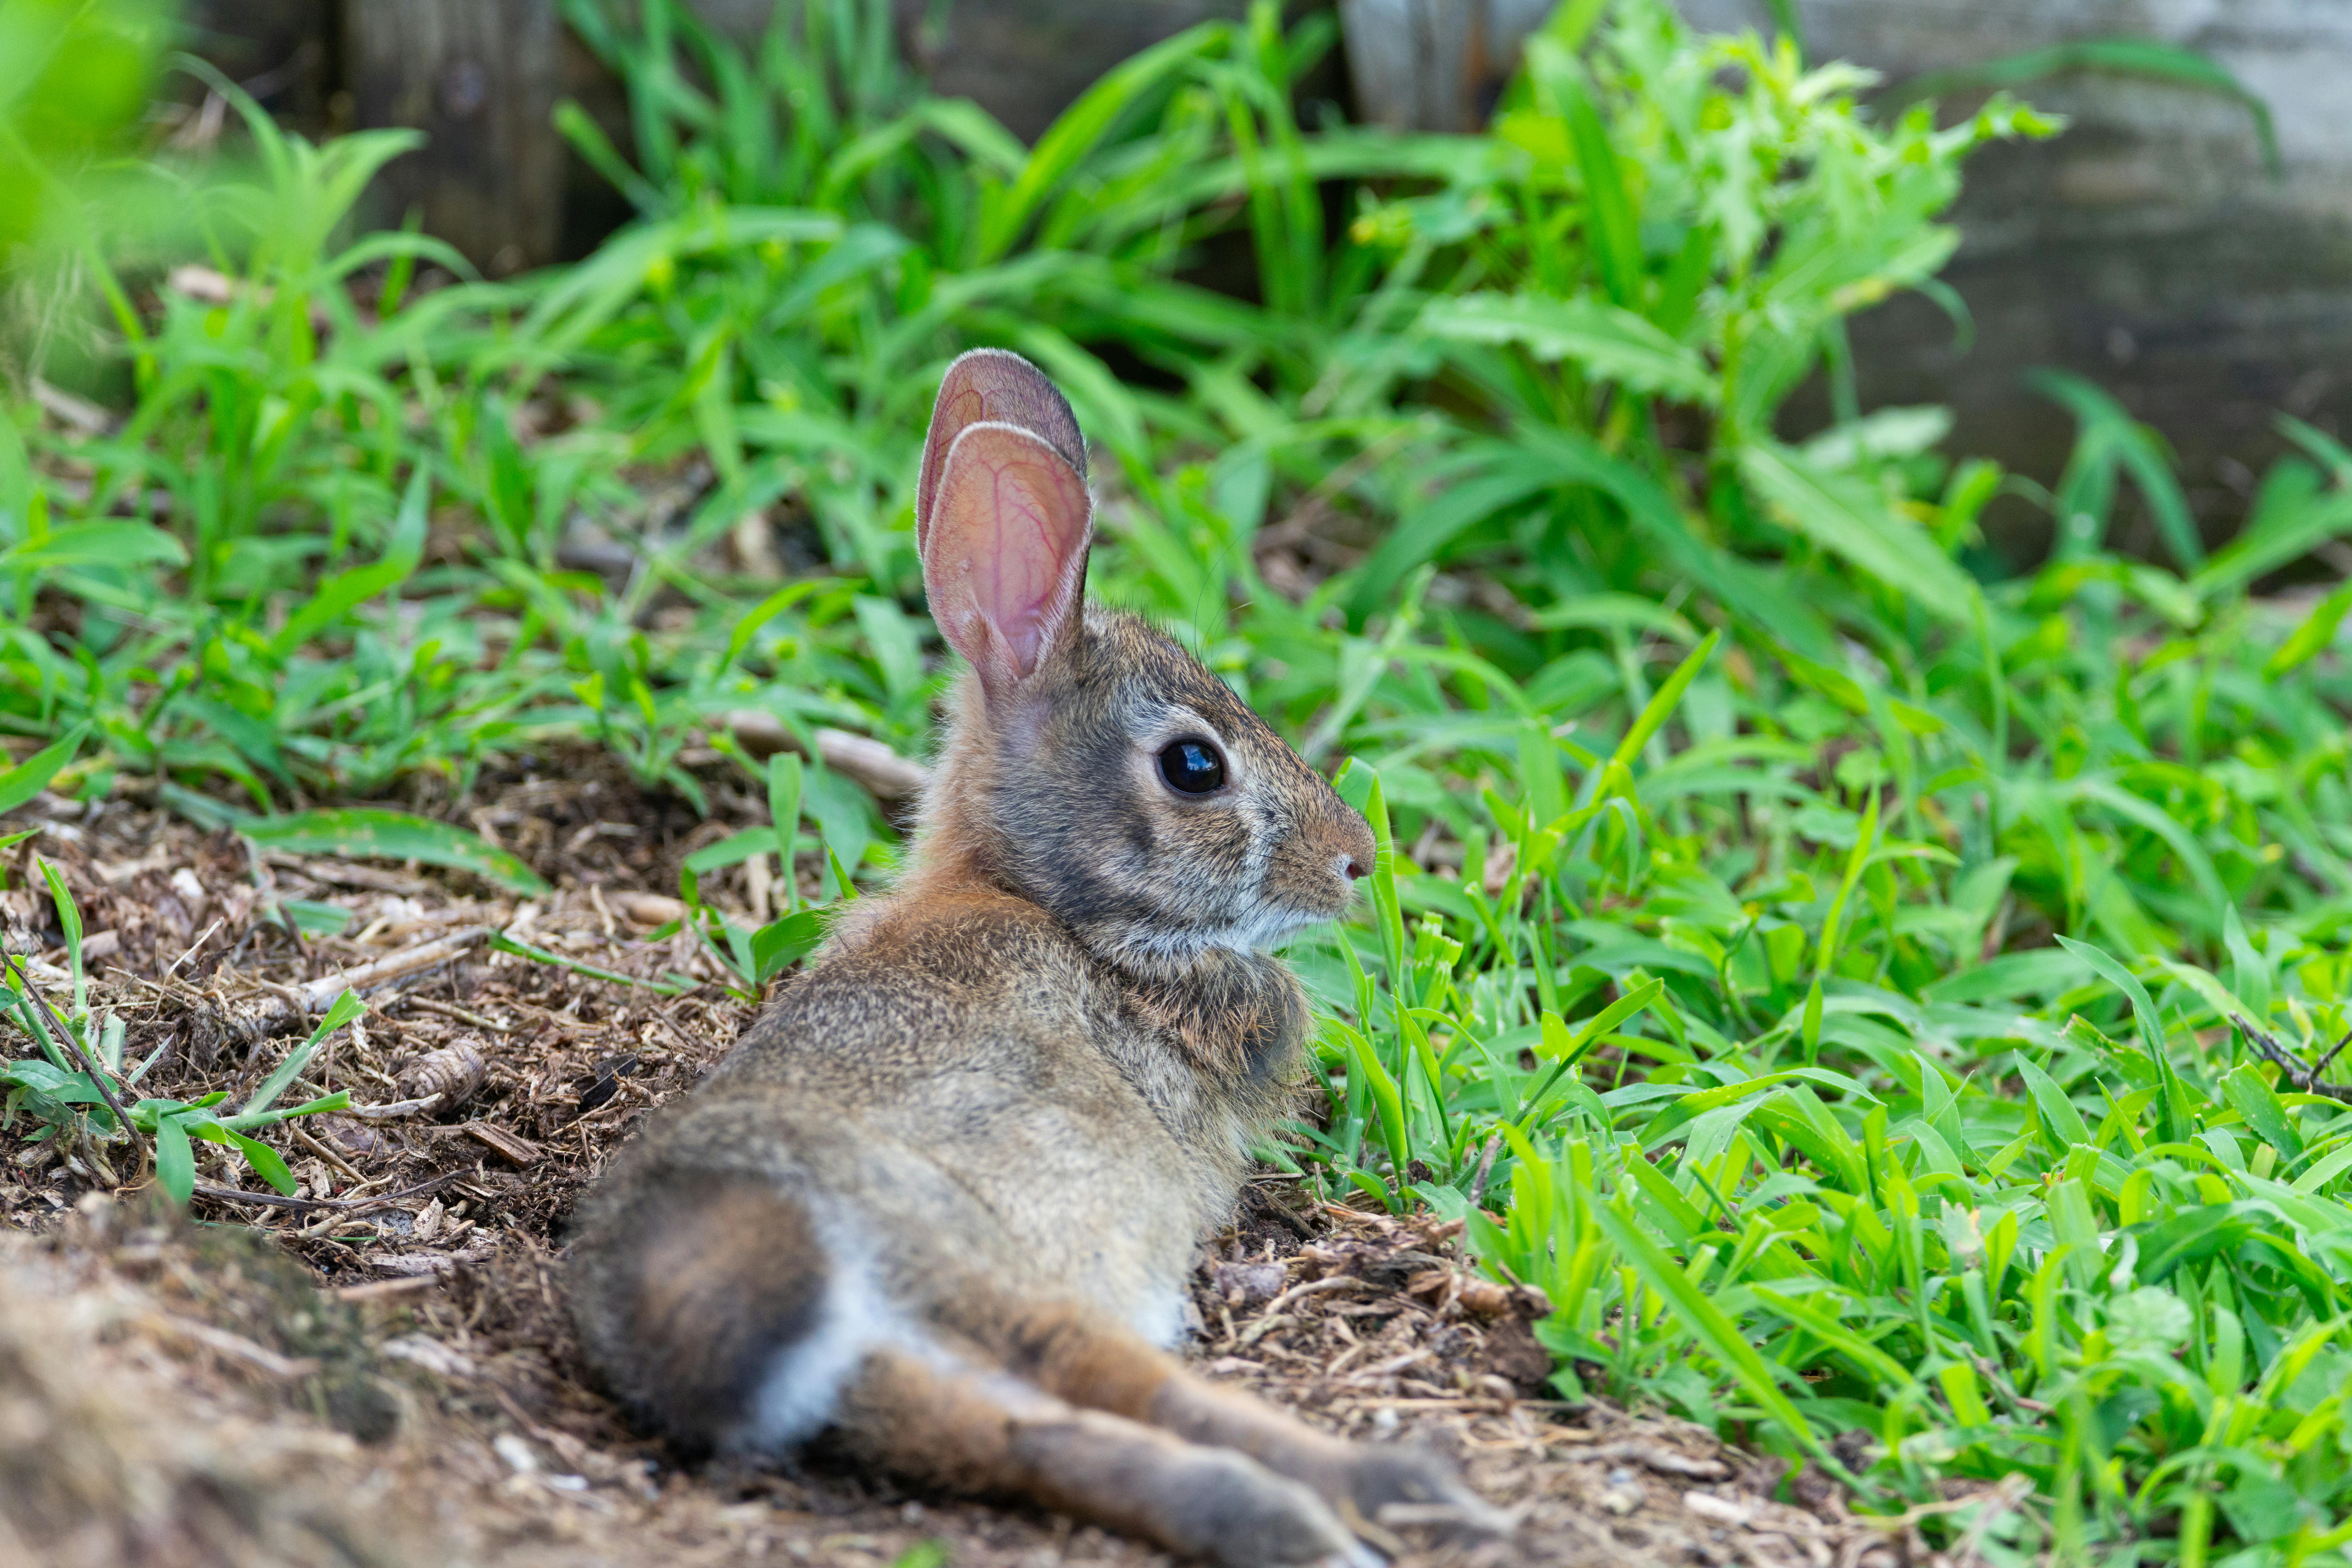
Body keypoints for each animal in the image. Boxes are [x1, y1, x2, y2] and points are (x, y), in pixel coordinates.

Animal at [568, 350, 1504, 1565]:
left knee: (1029, 1434)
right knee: (1114, 1384)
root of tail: (673, 1293)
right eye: (1194, 766)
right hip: (972, 1249)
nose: (1356, 860)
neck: (1056, 907)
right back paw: (1391, 1498)